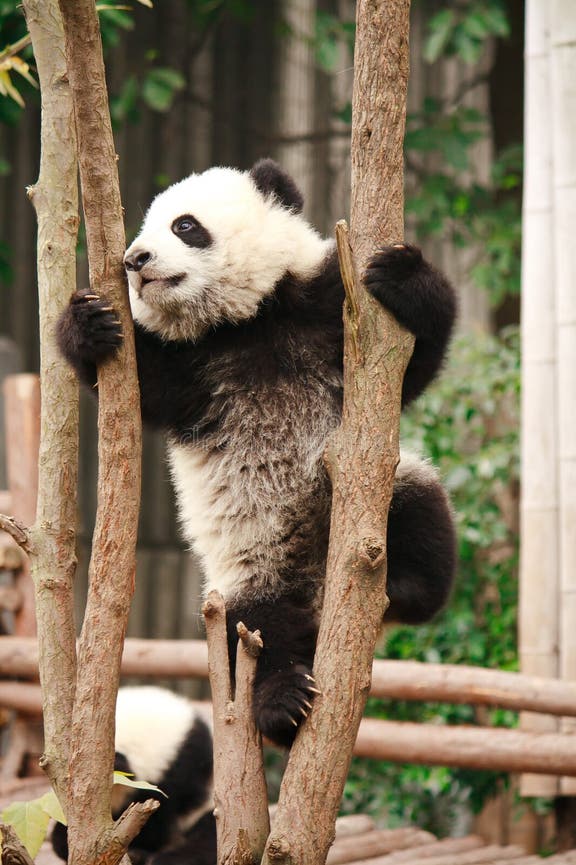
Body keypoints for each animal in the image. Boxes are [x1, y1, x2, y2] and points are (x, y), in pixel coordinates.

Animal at [57, 158, 458, 749]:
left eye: (184, 226)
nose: (134, 260)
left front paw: (403, 277)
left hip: (392, 494)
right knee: (260, 637)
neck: (246, 323)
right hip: (246, 581)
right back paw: (284, 705)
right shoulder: (193, 371)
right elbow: (143, 379)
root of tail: (319, 595)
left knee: (419, 513)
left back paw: (406, 585)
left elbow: (413, 364)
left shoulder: (327, 317)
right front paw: (87, 324)